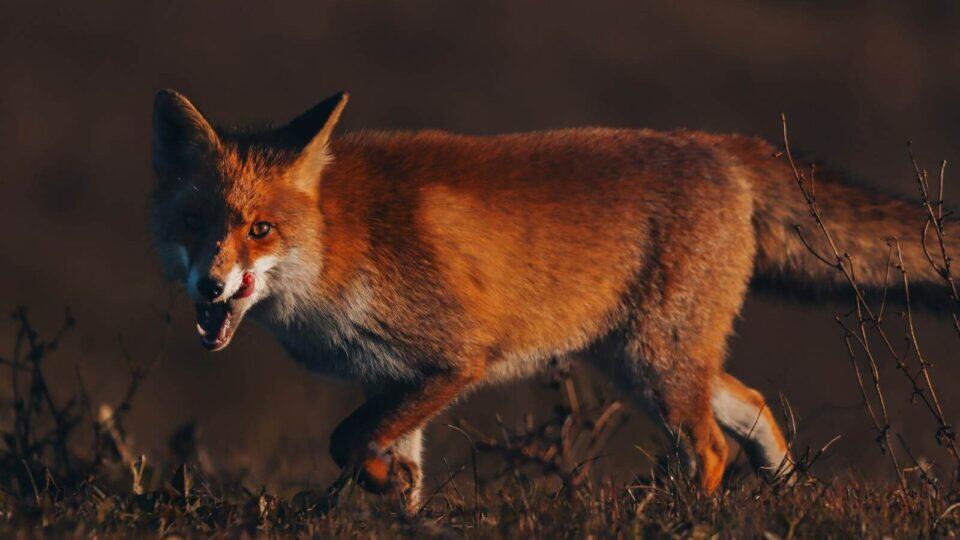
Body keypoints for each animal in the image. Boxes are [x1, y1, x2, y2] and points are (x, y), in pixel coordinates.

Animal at [150, 89, 957, 513]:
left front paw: (378, 481)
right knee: (754, 407)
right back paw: (784, 503)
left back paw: (691, 520)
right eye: (192, 224)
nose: (210, 286)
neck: (339, 242)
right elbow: (396, 467)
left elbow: (348, 442)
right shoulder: (401, 378)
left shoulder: (454, 358)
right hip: (642, 364)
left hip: (658, 367)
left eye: (258, 230)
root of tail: (719, 145)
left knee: (711, 447)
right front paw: (401, 505)